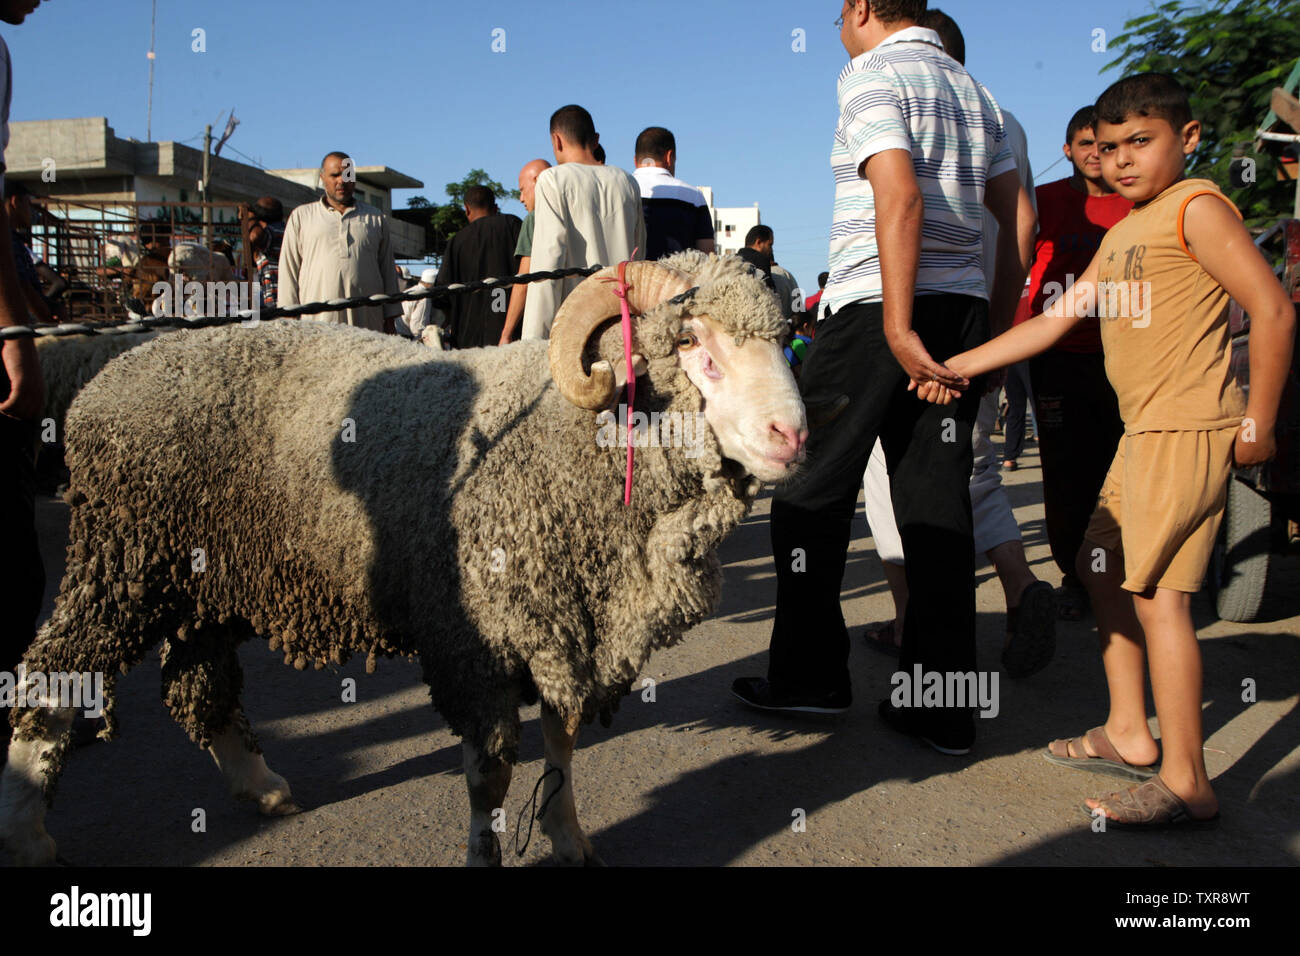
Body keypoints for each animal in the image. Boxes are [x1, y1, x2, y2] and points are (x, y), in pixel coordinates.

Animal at [0, 251, 807, 867]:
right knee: (54, 675)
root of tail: (113, 372)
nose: (792, 436)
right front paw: (486, 854)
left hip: (209, 574)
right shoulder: (476, 638)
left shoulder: (563, 620)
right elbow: (491, 774)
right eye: (694, 345)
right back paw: (29, 831)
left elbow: (563, 743)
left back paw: (259, 785)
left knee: (196, 682)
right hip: (123, 558)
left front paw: (568, 837)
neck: (562, 439)